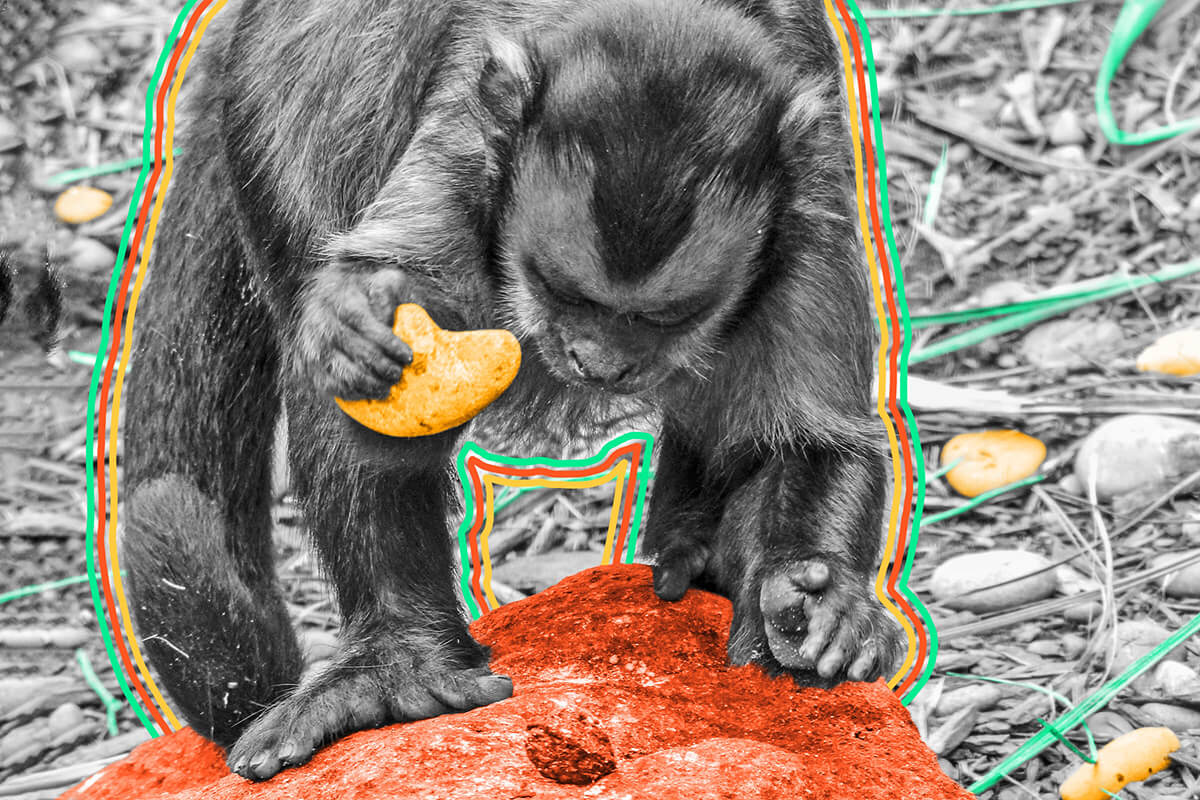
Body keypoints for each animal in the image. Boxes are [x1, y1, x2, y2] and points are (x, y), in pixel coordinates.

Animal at [121, 0, 904, 783]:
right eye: (560, 289)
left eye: (669, 317)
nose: (597, 363)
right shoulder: (470, 144)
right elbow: (372, 338)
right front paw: (360, 311)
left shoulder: (809, 205)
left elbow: (809, 439)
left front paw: (819, 593)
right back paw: (397, 663)